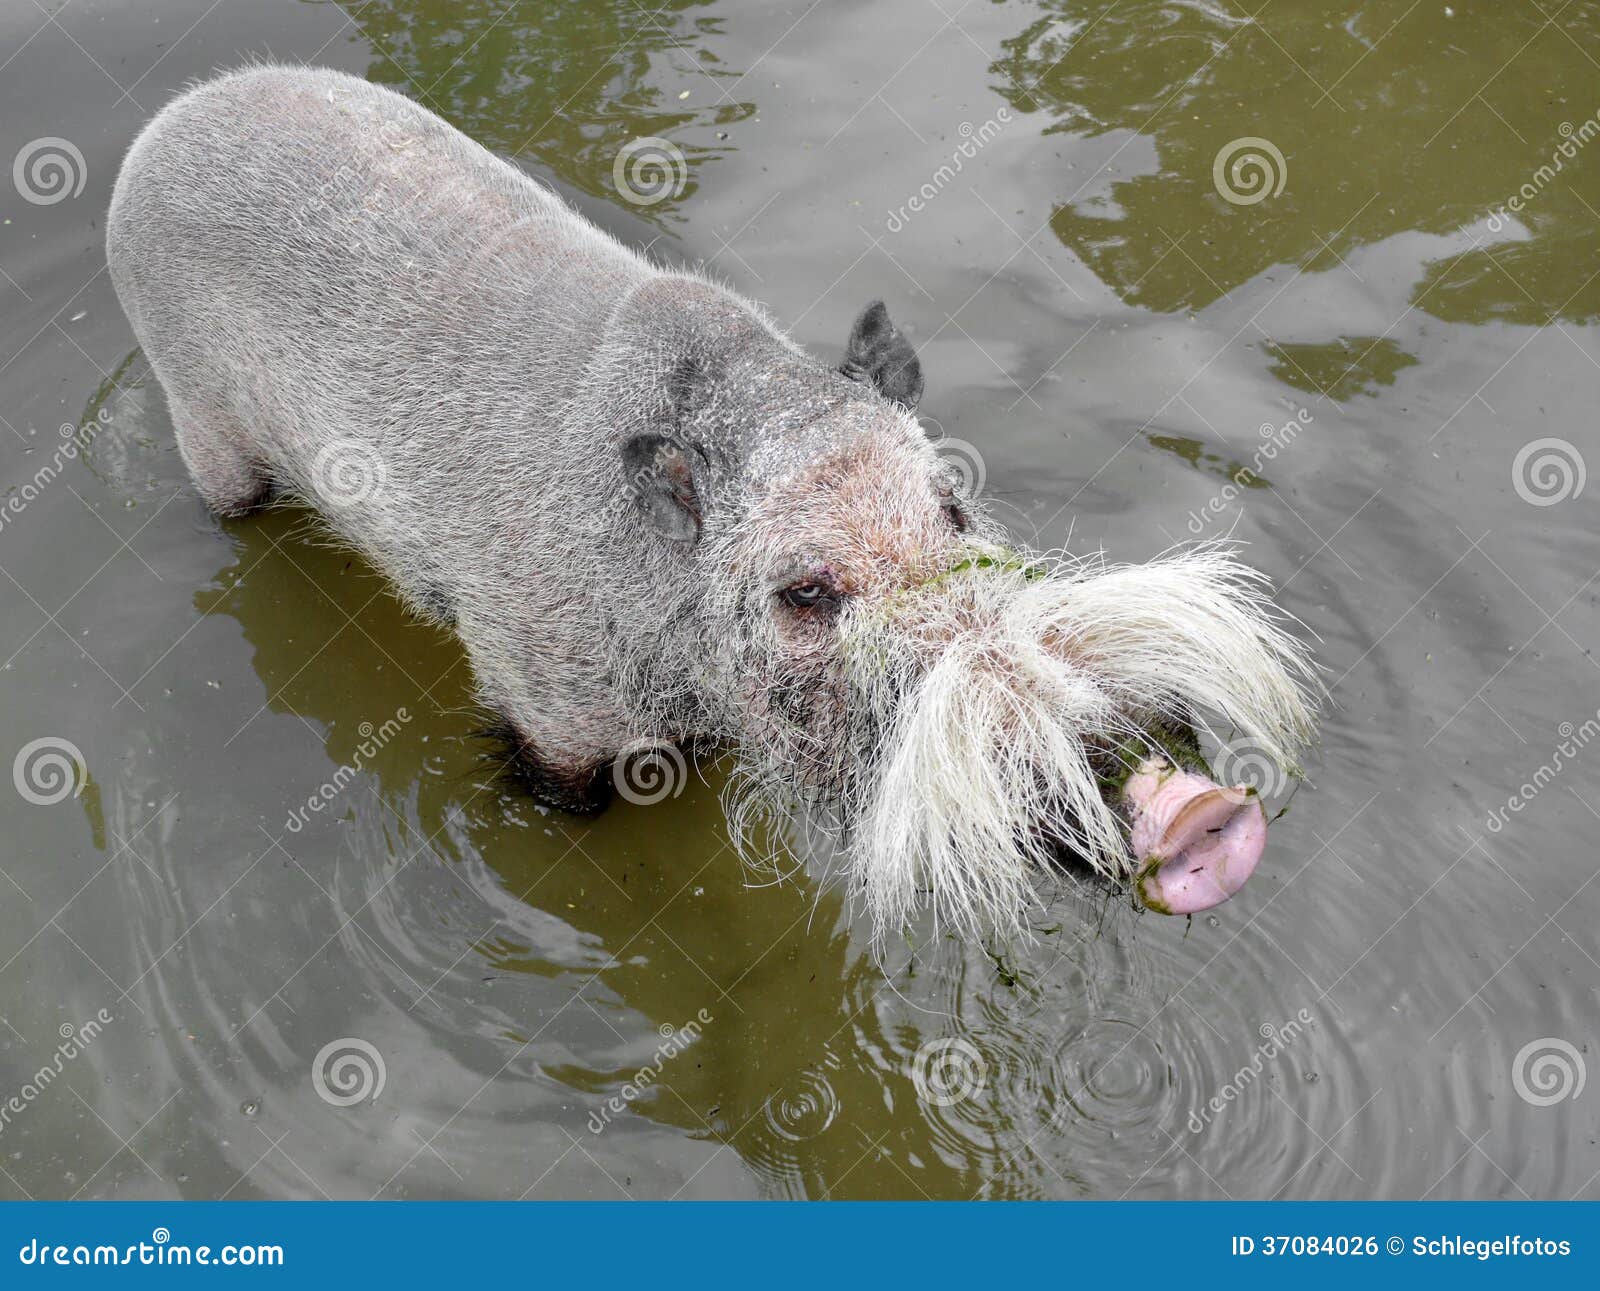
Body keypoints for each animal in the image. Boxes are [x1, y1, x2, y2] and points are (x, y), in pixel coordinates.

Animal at [106, 66, 1318, 946]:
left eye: (956, 508)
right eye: (807, 591)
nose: (1200, 809)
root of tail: (157, 132)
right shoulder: (548, 718)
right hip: (208, 433)